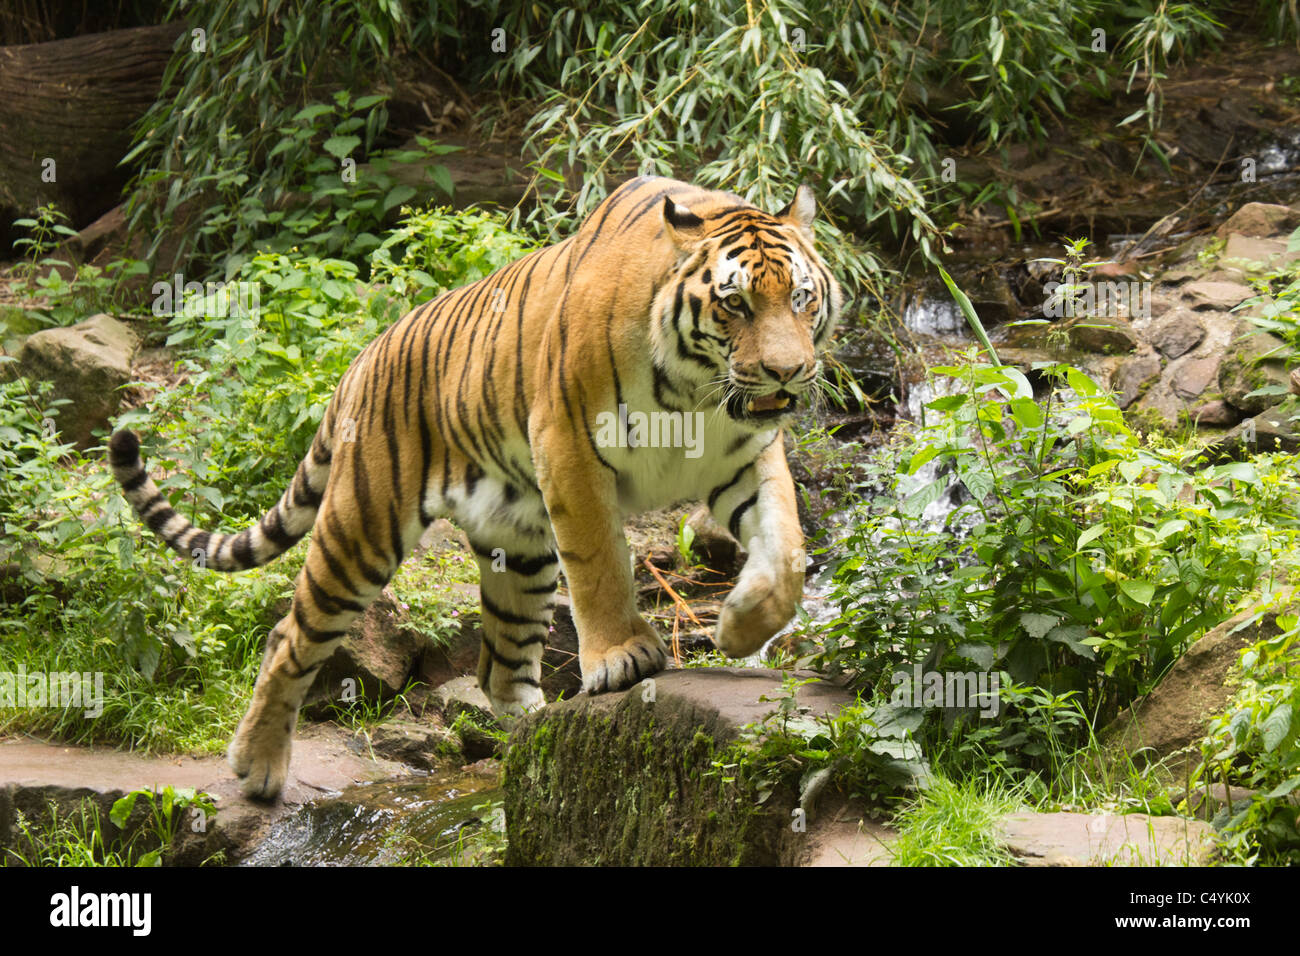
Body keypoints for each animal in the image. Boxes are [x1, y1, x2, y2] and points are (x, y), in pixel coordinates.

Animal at [108, 175, 843, 799]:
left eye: (801, 298)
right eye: (735, 303)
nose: (787, 372)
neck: (698, 391)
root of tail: (361, 361)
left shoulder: (746, 455)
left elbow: (786, 550)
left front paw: (742, 628)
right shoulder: (569, 445)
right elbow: (601, 564)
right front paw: (624, 655)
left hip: (519, 547)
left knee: (498, 668)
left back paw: (537, 747)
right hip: (361, 529)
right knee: (290, 637)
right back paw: (257, 765)